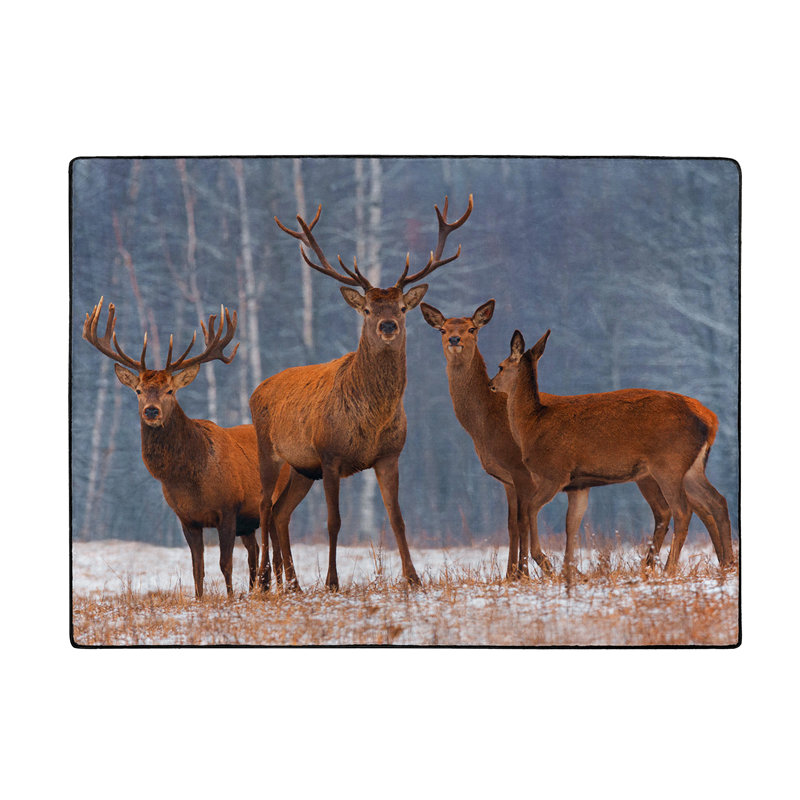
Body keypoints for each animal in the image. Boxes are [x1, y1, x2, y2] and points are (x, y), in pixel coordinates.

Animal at [83, 297, 290, 598]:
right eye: (138, 390)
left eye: (170, 390)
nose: (151, 410)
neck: (191, 479)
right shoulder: (186, 518)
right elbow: (197, 568)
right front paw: (201, 600)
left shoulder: (229, 508)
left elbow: (225, 563)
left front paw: (229, 599)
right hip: (248, 522)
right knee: (255, 552)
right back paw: (256, 590)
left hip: (273, 501)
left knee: (275, 551)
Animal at [249, 195, 473, 591]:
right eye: (368, 308)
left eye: (401, 307)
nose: (388, 325)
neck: (371, 420)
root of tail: (257, 389)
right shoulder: (330, 455)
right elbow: (333, 522)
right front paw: (332, 581)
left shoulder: (389, 455)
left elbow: (397, 518)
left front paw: (413, 578)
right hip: (269, 451)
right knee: (263, 506)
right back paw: (263, 581)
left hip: (301, 468)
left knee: (279, 513)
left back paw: (292, 583)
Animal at [488, 329, 734, 578]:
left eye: (500, 366)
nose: (491, 384)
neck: (531, 426)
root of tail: (711, 421)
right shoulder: (579, 485)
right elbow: (571, 524)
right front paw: (569, 570)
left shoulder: (555, 473)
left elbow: (530, 509)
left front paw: (544, 562)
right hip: (691, 467)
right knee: (717, 501)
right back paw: (728, 563)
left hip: (669, 464)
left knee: (683, 510)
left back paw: (669, 568)